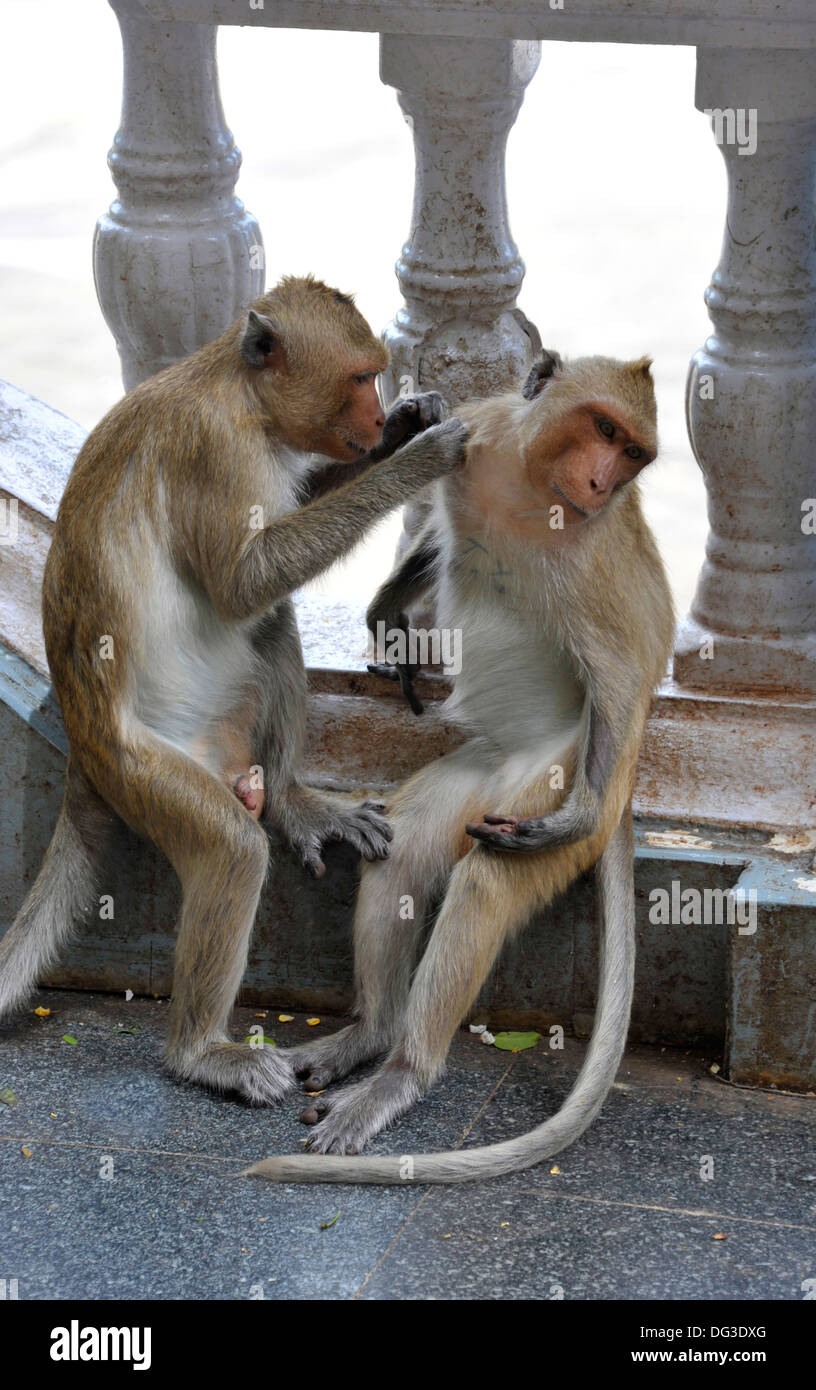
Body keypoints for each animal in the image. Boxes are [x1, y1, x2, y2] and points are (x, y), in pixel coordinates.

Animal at [0, 275, 467, 1106]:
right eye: (359, 377)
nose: (376, 413)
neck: (242, 397)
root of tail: (84, 748)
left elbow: (273, 560)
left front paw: (408, 425)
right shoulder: (215, 453)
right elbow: (246, 577)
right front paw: (416, 459)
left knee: (272, 626)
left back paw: (289, 801)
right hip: (144, 772)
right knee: (229, 850)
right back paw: (201, 1052)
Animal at [245, 349, 674, 1182]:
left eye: (633, 452)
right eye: (605, 430)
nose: (602, 481)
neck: (534, 485)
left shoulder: (597, 549)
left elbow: (618, 671)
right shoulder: (483, 433)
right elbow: (435, 526)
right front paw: (386, 613)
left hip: (554, 771)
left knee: (490, 875)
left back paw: (401, 1075)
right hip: (486, 773)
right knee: (409, 842)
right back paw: (371, 1035)